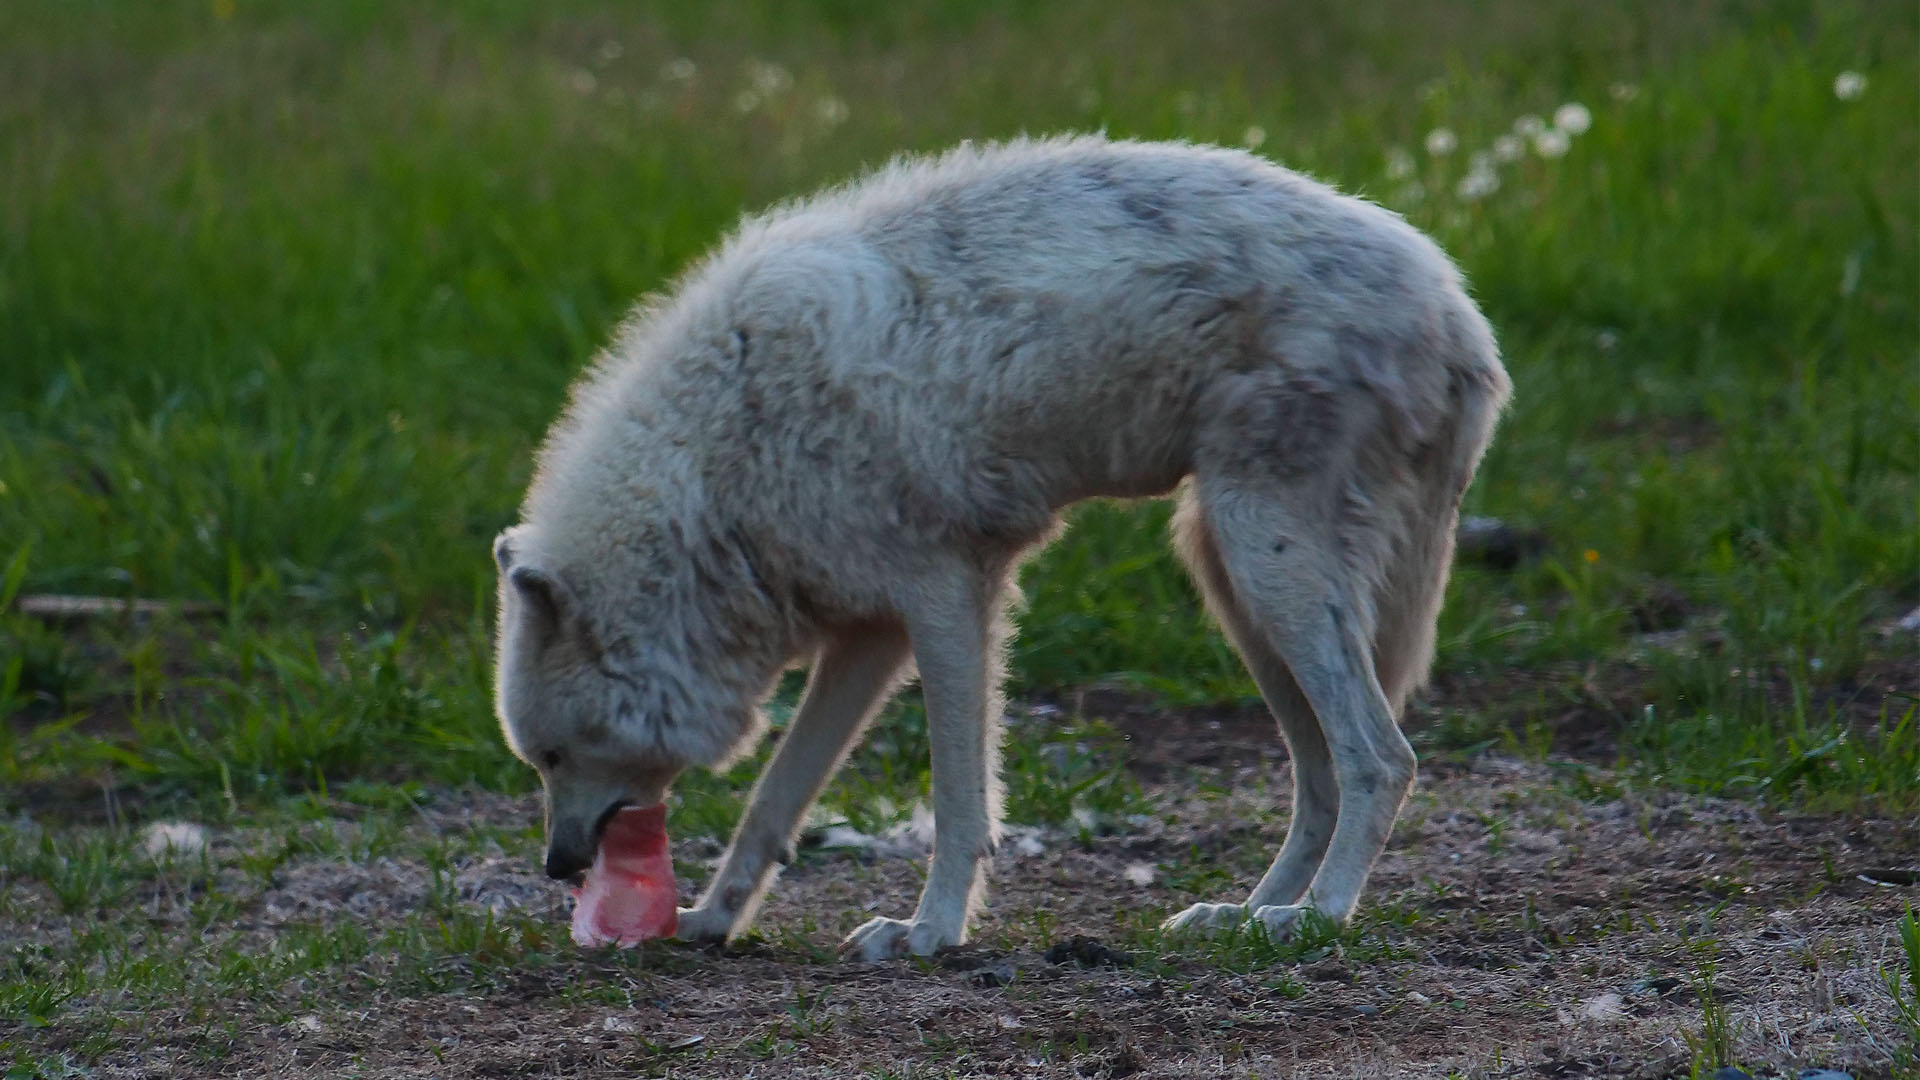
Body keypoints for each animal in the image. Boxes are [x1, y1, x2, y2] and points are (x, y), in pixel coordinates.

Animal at [492, 135, 1509, 960]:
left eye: (549, 755)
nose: (556, 865)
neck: (717, 476)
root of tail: (1464, 314)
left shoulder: (946, 599)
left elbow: (958, 802)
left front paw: (929, 932)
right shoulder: (868, 638)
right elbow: (774, 799)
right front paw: (712, 919)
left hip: (1267, 567)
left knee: (1381, 760)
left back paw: (1316, 918)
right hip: (1232, 579)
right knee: (1320, 778)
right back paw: (1243, 917)